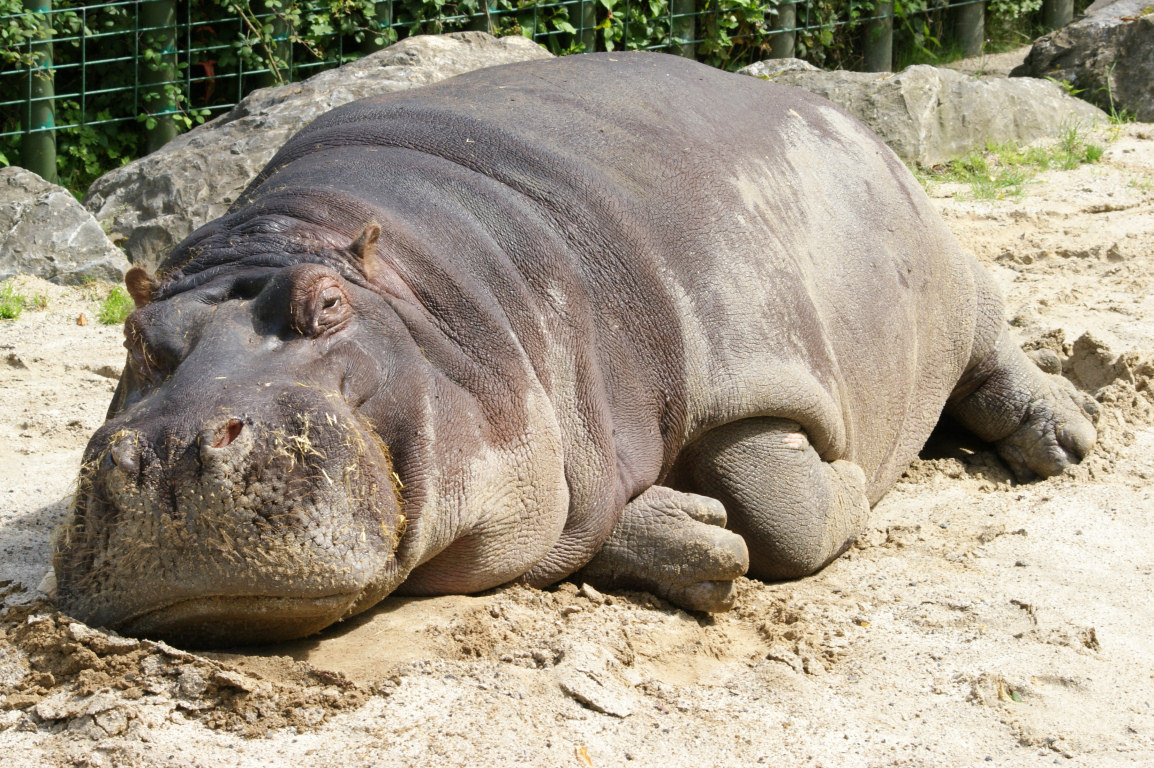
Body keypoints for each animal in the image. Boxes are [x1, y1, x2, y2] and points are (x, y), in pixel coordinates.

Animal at [54, 52, 1097, 647]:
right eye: (133, 337)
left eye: (327, 305)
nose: (169, 452)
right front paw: (693, 532)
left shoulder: (749, 351)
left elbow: (790, 513)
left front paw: (844, 484)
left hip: (945, 270)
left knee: (990, 325)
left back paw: (1065, 436)